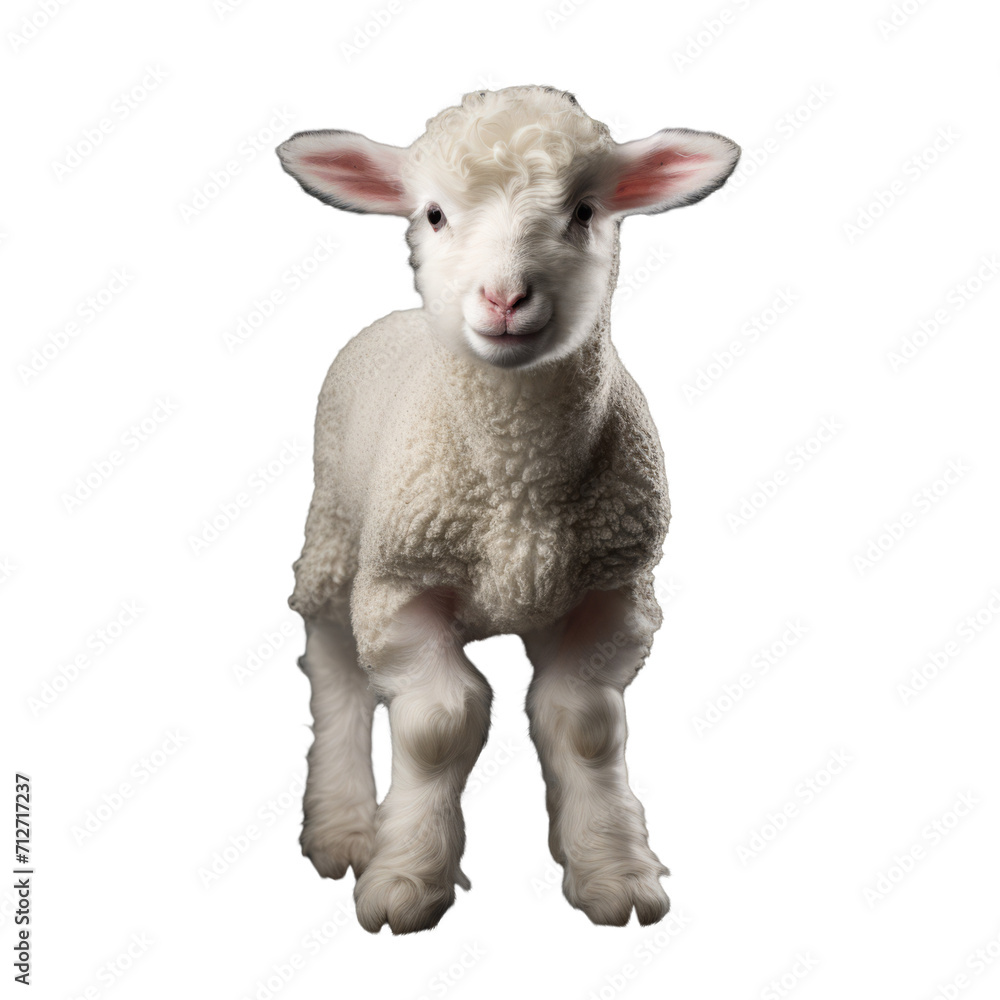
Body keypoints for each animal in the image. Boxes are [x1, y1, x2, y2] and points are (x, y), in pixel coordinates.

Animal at [276, 85, 739, 934]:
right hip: (336, 531)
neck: (518, 488)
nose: (504, 298)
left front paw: (614, 873)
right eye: (432, 214)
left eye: (585, 211)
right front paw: (406, 878)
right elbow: (438, 722)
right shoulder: (399, 585)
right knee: (332, 662)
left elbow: (585, 725)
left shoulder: (614, 592)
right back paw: (342, 825)